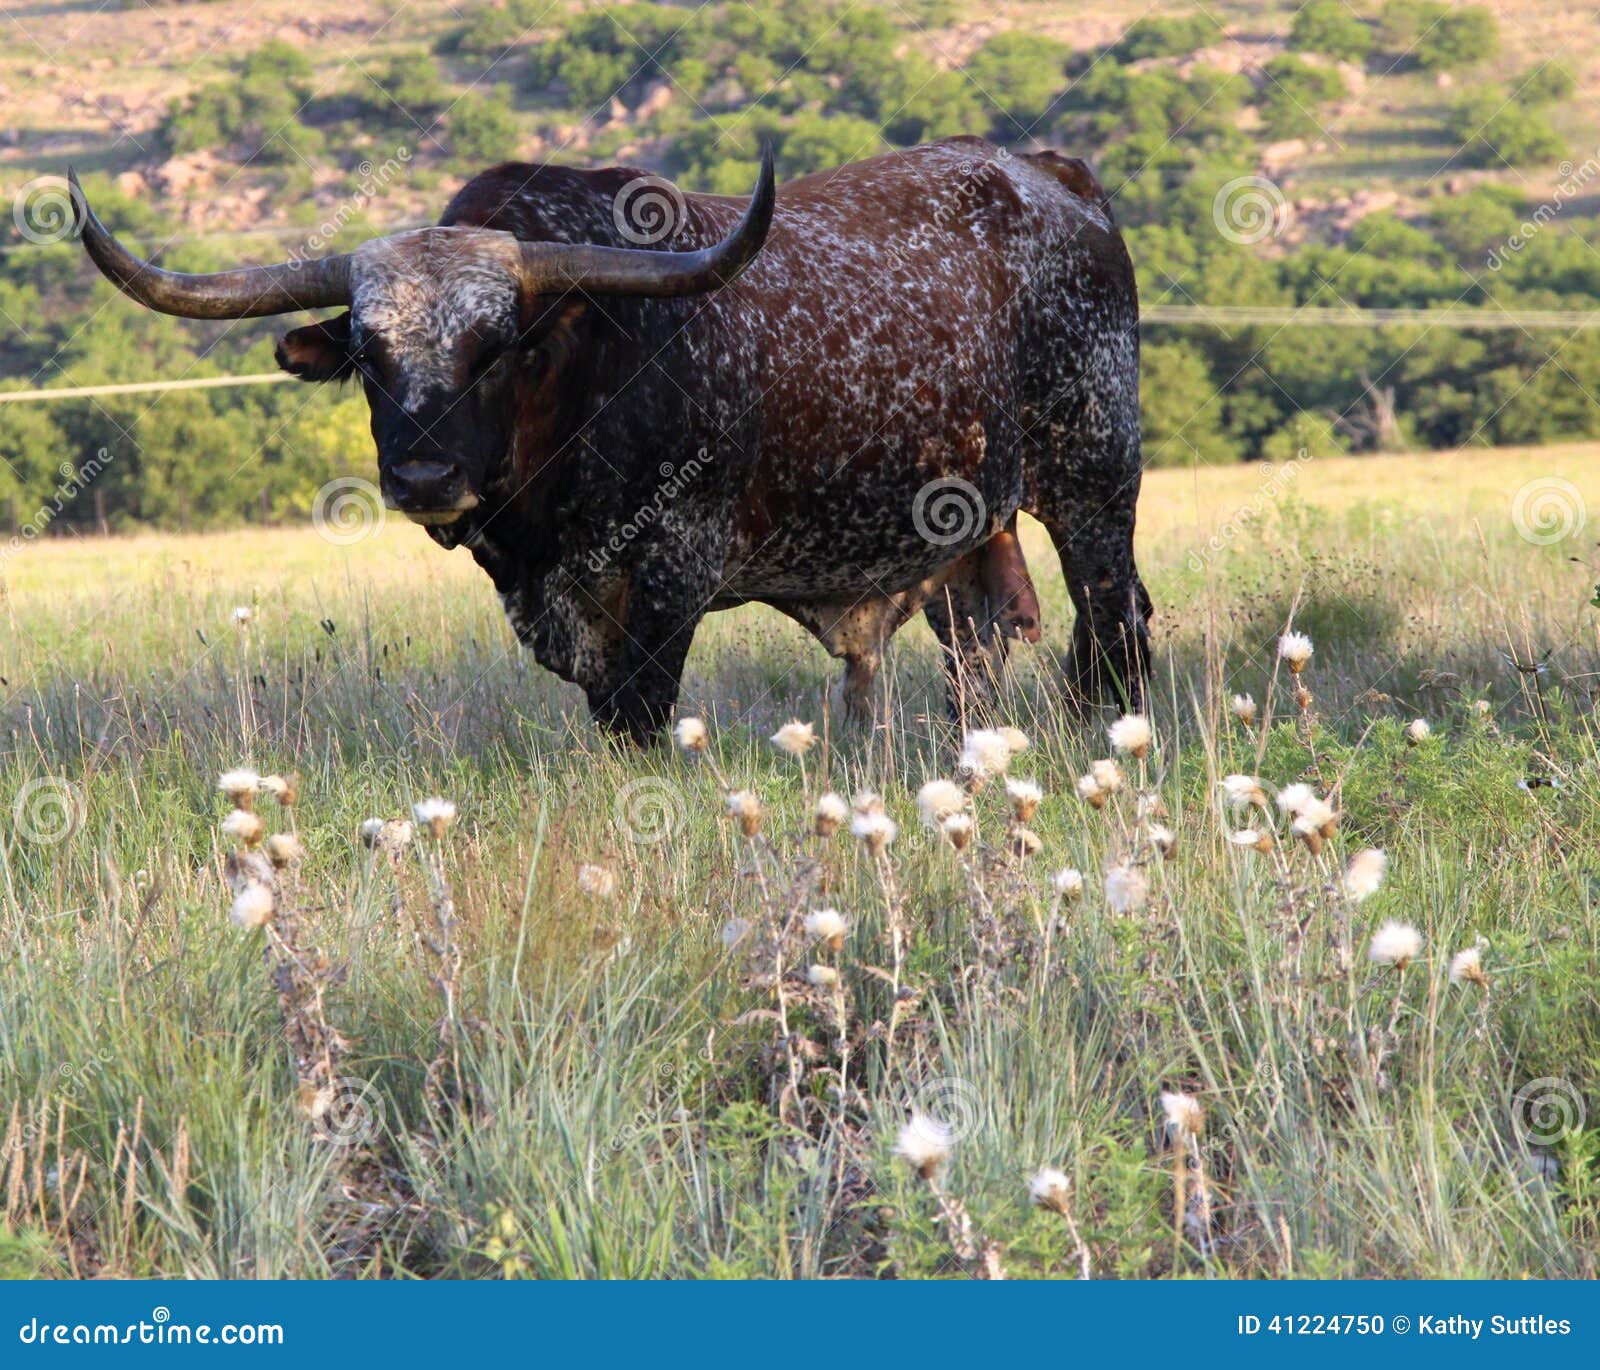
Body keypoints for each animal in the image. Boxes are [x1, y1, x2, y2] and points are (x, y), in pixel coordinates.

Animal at [71, 136, 1151, 743]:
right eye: (369, 356)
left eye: (498, 348)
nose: (422, 472)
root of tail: (1047, 177)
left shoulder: (674, 566)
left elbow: (638, 711)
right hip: (970, 523)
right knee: (981, 641)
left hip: (1094, 480)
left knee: (1115, 624)